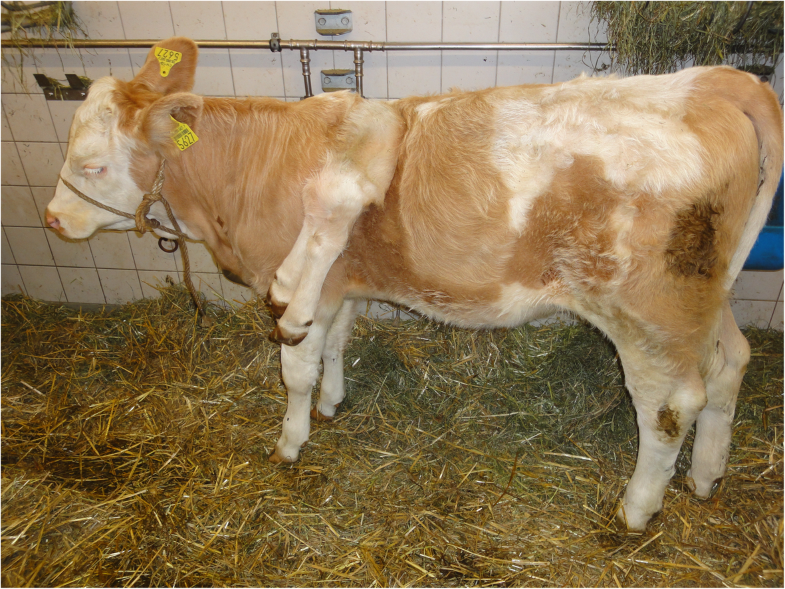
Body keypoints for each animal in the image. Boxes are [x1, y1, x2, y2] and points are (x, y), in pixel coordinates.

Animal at [45, 37, 783, 531]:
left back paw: (636, 507)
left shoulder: (302, 284)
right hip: (699, 301)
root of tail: (705, 81)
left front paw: (290, 439)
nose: (52, 217)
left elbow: (296, 366)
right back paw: (707, 474)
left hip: (648, 314)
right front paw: (332, 403)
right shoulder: (342, 283)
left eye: (91, 162)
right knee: (730, 364)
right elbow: (335, 343)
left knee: (668, 406)